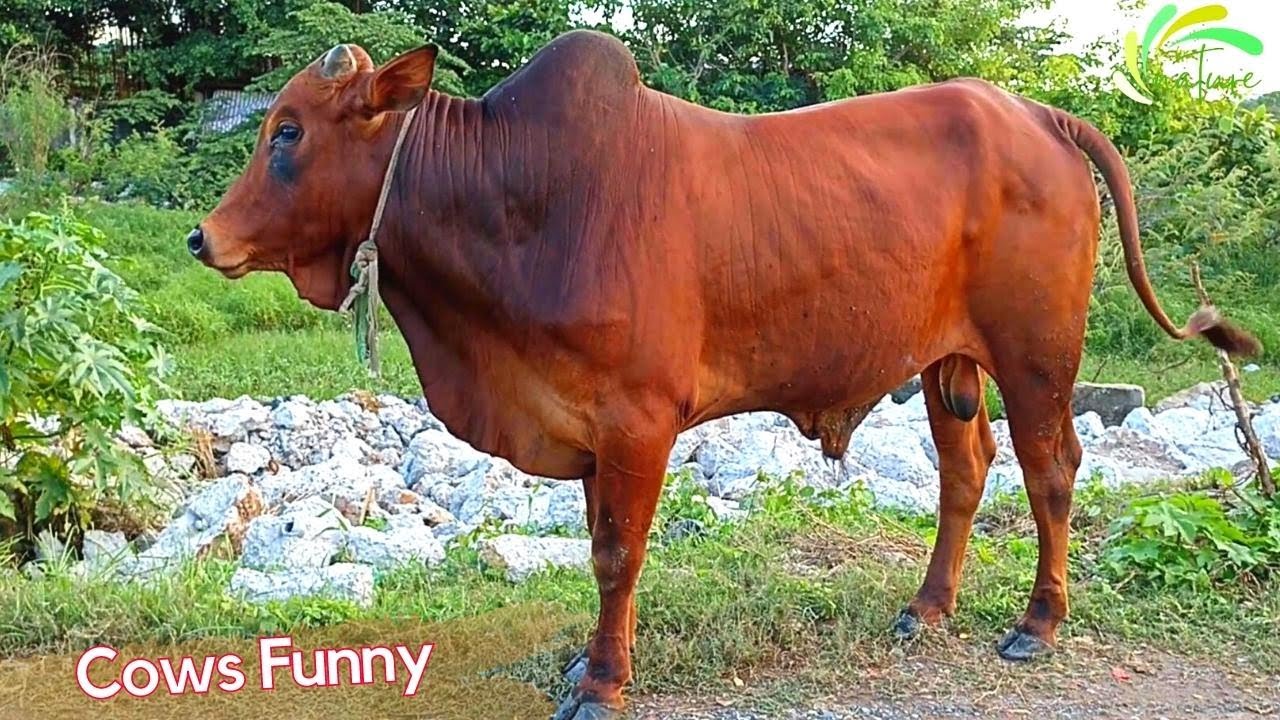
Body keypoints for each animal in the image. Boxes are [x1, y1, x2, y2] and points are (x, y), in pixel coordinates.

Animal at [189, 30, 1259, 719]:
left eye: (289, 132)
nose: (205, 239)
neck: (517, 196)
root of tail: (1036, 111)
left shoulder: (637, 421)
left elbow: (616, 556)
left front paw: (602, 684)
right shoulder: (588, 430)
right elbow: (602, 551)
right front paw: (592, 665)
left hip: (1037, 357)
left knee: (1051, 470)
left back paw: (1039, 621)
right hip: (945, 365)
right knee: (967, 470)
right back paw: (926, 608)